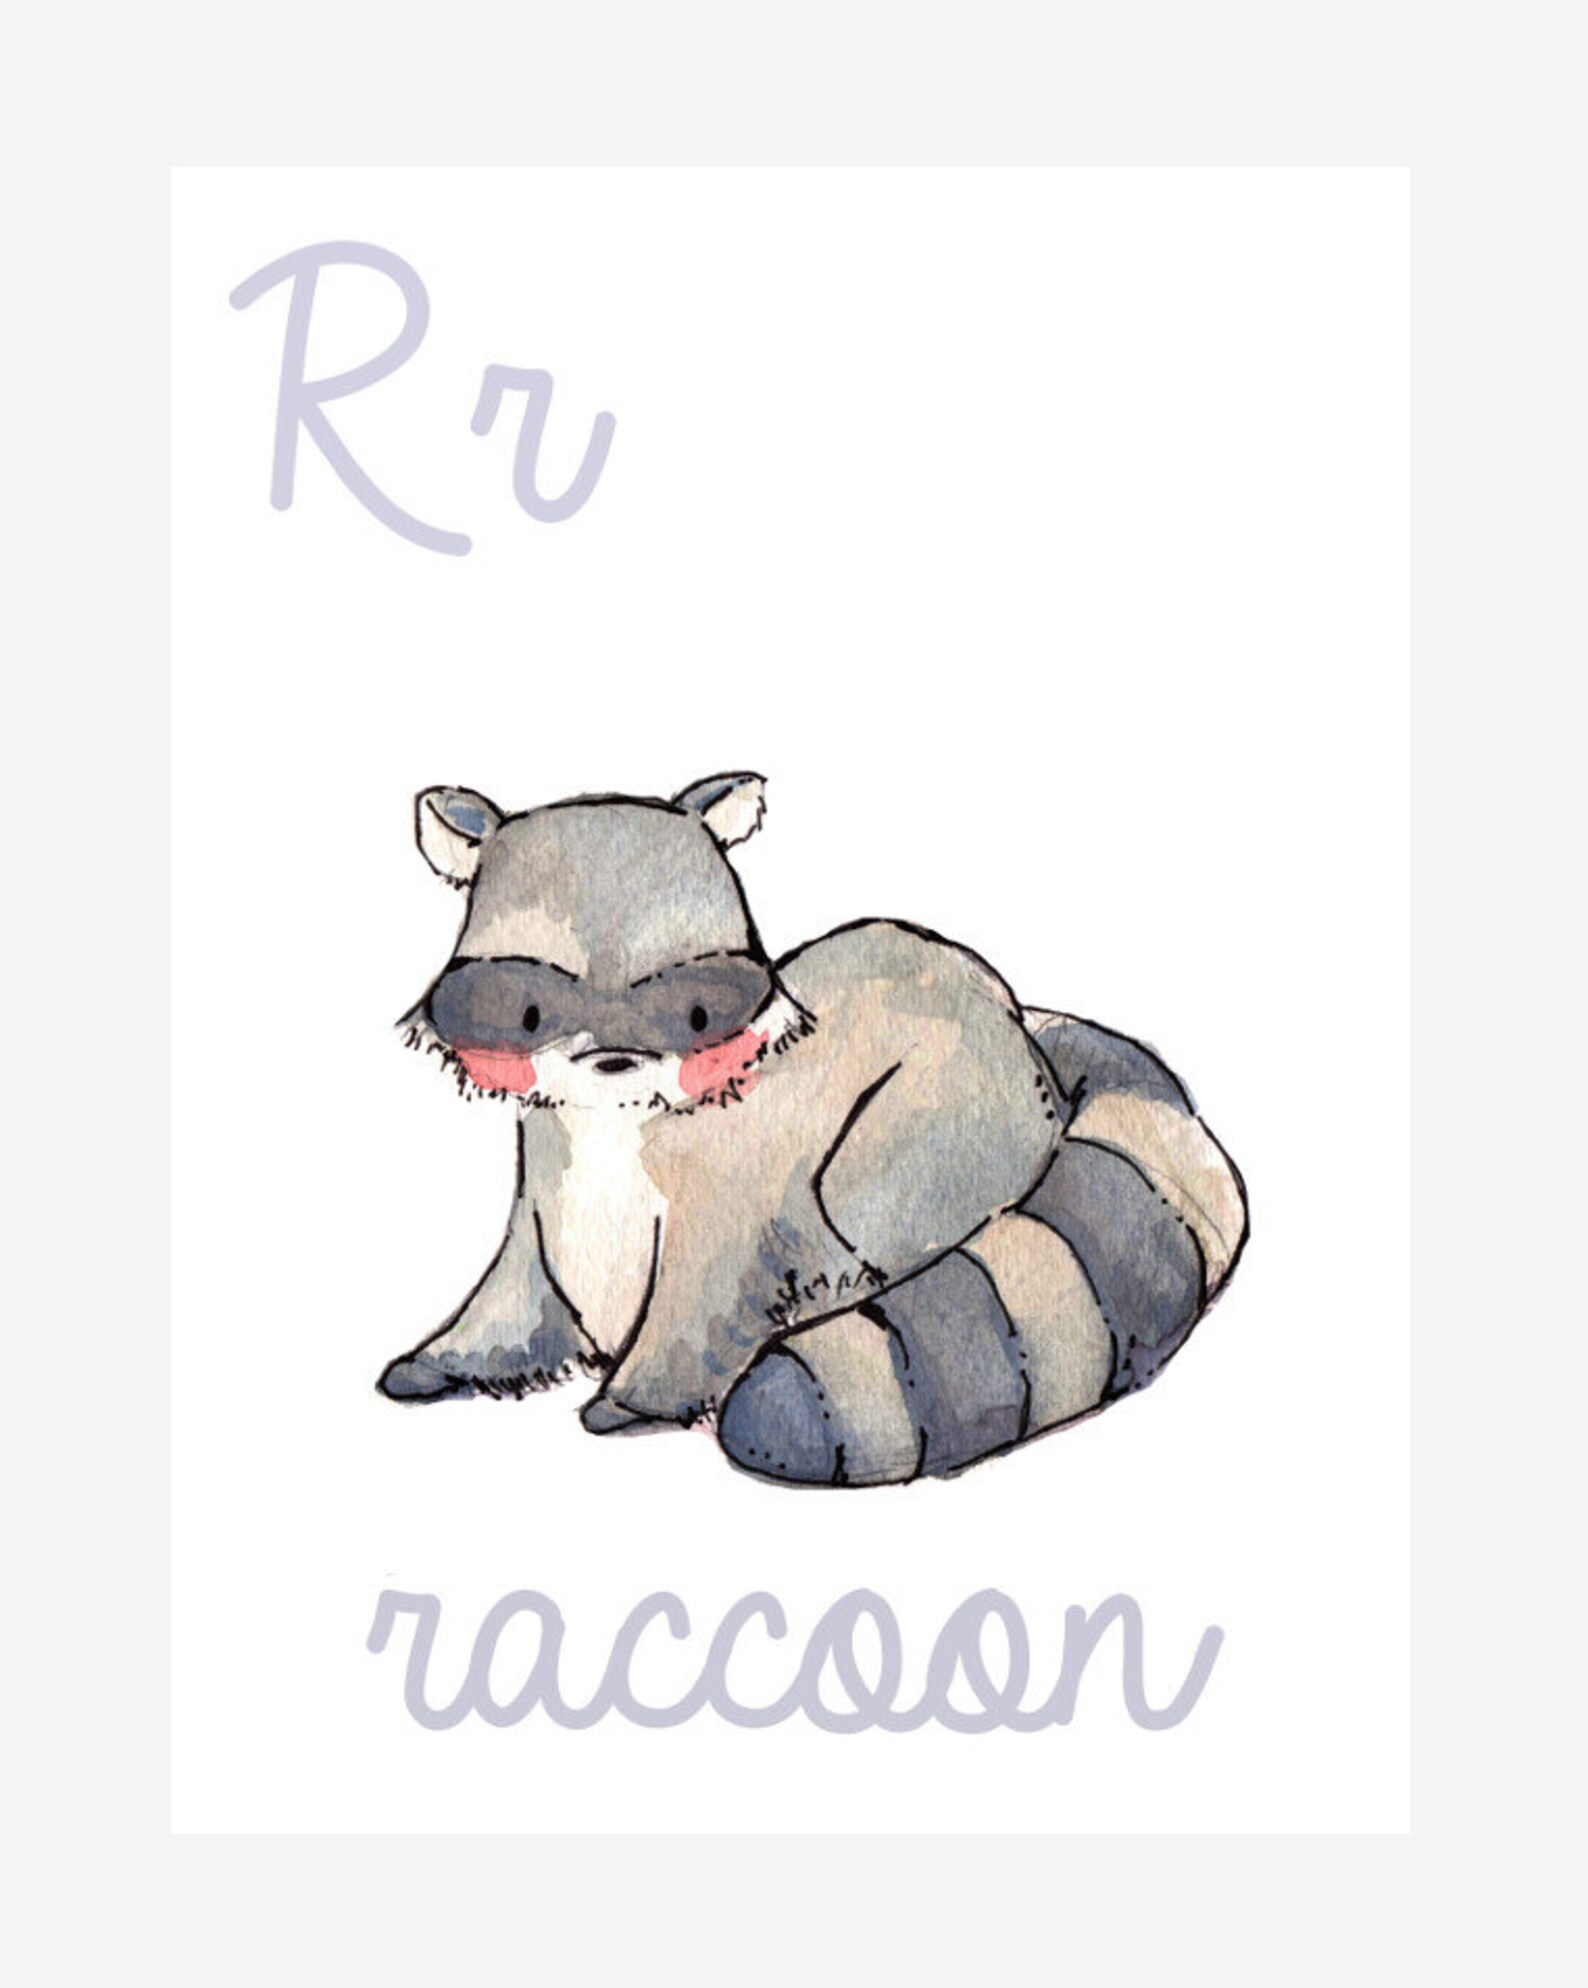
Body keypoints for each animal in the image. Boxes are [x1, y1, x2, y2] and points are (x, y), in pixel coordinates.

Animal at [382, 773, 1249, 1487]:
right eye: (526, 1010)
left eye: (697, 1009)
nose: (615, 1055)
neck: (614, 1116)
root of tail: (1024, 1022)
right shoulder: (547, 1180)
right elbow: (518, 1289)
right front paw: (451, 1354)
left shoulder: (735, 1195)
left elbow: (699, 1298)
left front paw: (638, 1395)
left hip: (945, 1119)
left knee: (870, 1210)